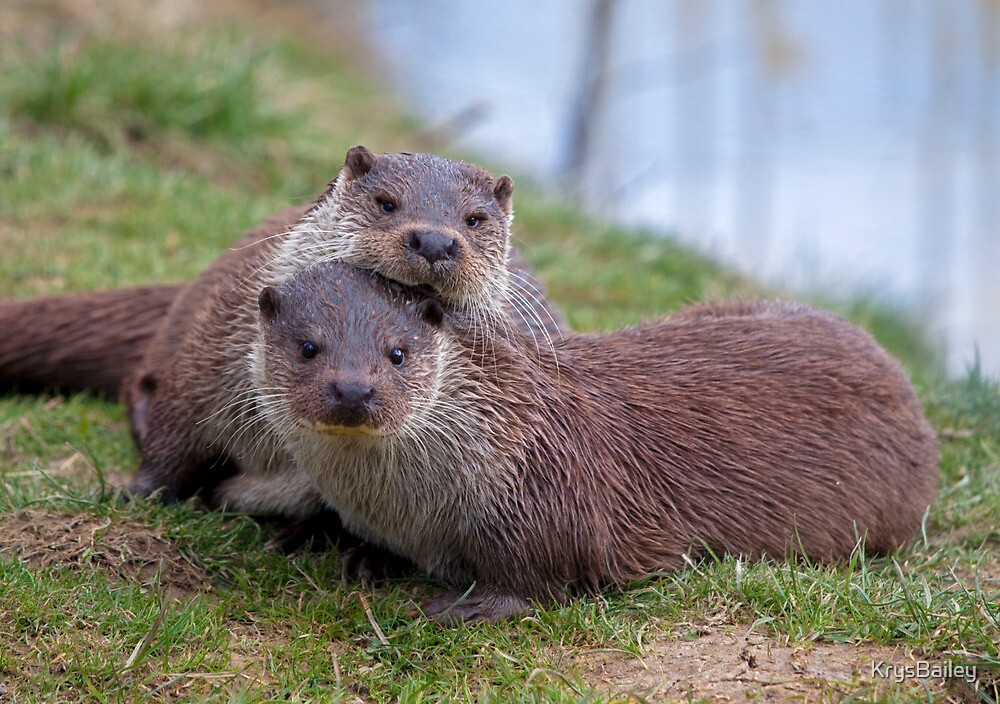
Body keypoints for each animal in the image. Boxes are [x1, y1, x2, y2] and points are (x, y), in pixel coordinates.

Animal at [255, 261, 940, 623]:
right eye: (309, 346)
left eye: (396, 353)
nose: (353, 388)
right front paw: (357, 552)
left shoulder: (548, 492)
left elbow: (540, 574)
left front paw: (467, 605)